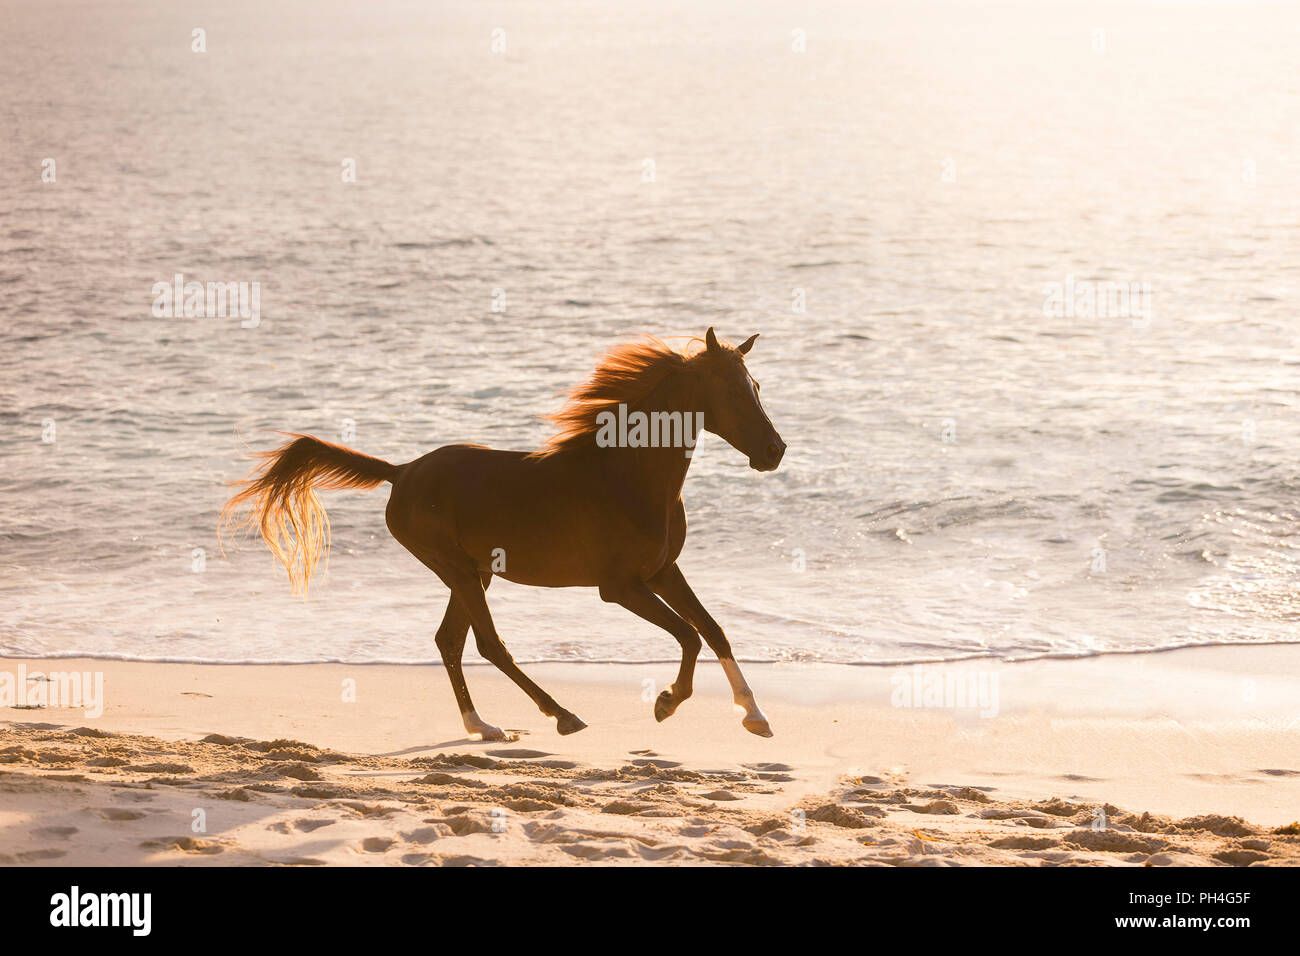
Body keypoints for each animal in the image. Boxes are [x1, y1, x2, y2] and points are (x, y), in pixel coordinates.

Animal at [222, 327, 787, 740]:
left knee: (450, 640)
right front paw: (668, 703)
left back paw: (483, 725)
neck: (631, 476)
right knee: (488, 643)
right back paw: (561, 715)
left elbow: (714, 630)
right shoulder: (621, 587)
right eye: (732, 391)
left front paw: (754, 715)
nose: (775, 451)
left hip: (473, 573)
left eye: (756, 387)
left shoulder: (664, 571)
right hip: (457, 570)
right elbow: (689, 634)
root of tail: (401, 472)